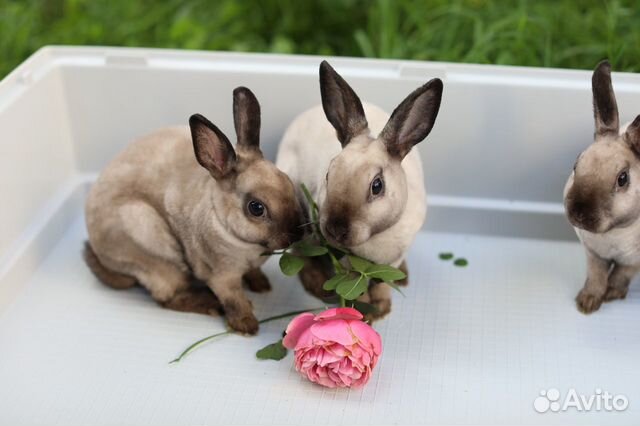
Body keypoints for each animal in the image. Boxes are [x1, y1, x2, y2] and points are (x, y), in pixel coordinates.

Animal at [84, 87, 304, 334]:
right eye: (256, 208)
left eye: (288, 183)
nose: (297, 233)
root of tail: (98, 248)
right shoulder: (222, 278)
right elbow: (234, 300)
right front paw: (247, 325)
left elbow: (253, 274)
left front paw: (262, 286)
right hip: (154, 249)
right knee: (167, 297)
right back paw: (209, 305)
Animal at [276, 60, 443, 320]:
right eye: (329, 174)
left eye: (377, 185)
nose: (335, 230)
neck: (376, 235)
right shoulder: (348, 264)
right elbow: (358, 287)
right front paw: (366, 313)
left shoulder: (394, 258)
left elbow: (383, 283)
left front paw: (382, 308)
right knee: (303, 256)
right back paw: (319, 286)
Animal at [564, 60, 640, 314]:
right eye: (576, 163)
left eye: (623, 178)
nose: (579, 213)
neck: (614, 232)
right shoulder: (593, 254)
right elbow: (596, 277)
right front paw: (587, 303)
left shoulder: (633, 262)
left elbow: (620, 277)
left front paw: (612, 295)